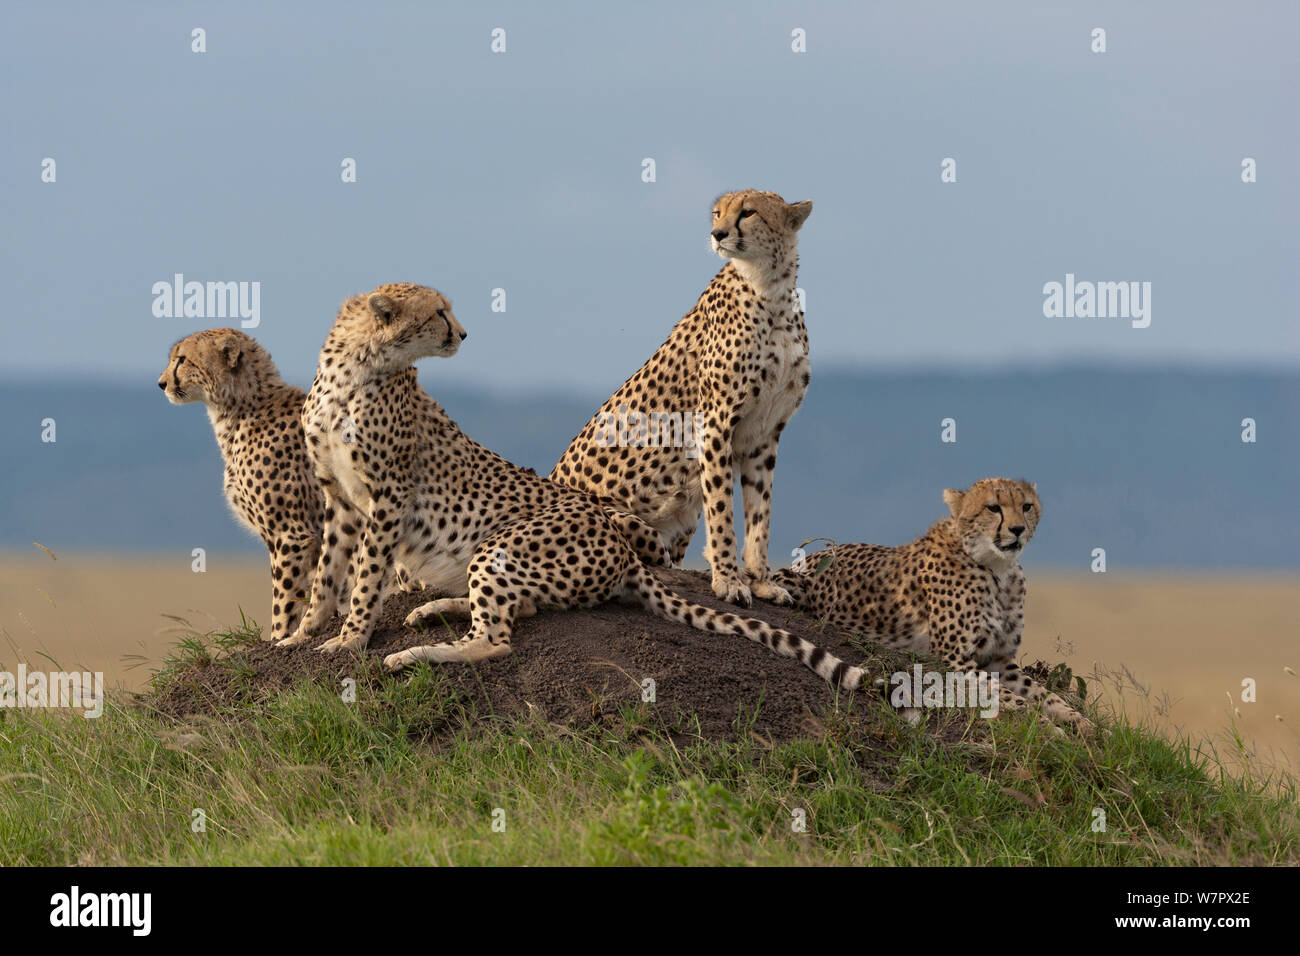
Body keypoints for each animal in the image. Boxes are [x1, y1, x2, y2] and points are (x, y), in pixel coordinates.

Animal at [276, 282, 864, 693]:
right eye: (438, 312)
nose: (463, 333)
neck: (356, 368)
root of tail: (619, 547)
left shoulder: (388, 496)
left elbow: (366, 575)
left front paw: (352, 637)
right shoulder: (340, 498)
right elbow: (328, 574)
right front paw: (302, 634)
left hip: (502, 545)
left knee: (498, 641)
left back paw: (413, 653)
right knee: (522, 612)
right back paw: (433, 611)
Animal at [551, 189, 813, 609]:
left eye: (748, 212)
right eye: (718, 213)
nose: (718, 234)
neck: (769, 288)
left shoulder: (764, 434)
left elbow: (760, 513)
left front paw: (761, 580)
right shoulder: (716, 423)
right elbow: (721, 507)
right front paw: (728, 580)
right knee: (644, 540)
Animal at [771, 478, 1094, 733]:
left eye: (1026, 506)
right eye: (993, 508)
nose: (1017, 529)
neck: (998, 570)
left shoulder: (1001, 661)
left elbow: (1044, 694)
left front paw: (1081, 723)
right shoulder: (955, 662)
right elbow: (1011, 697)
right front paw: (1049, 729)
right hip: (793, 582)